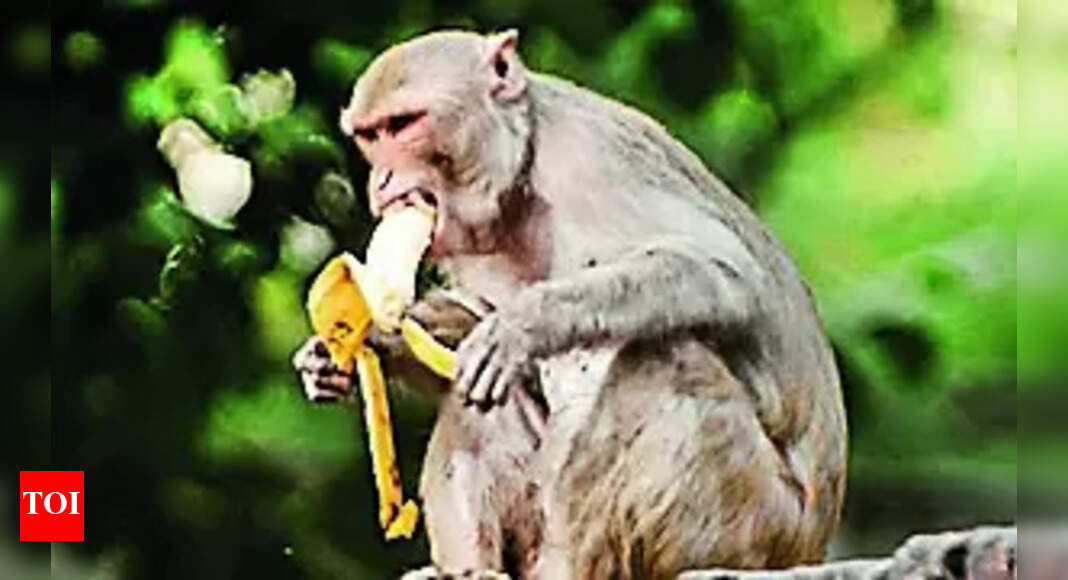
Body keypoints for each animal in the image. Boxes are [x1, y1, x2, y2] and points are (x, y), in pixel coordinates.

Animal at [293, 29, 847, 580]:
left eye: (403, 125)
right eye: (369, 136)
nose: (380, 182)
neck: (521, 178)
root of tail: (812, 542)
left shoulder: (590, 160)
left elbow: (724, 272)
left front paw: (523, 325)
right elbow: (469, 327)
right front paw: (349, 350)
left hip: (754, 523)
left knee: (661, 361)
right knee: (482, 396)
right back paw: (473, 569)